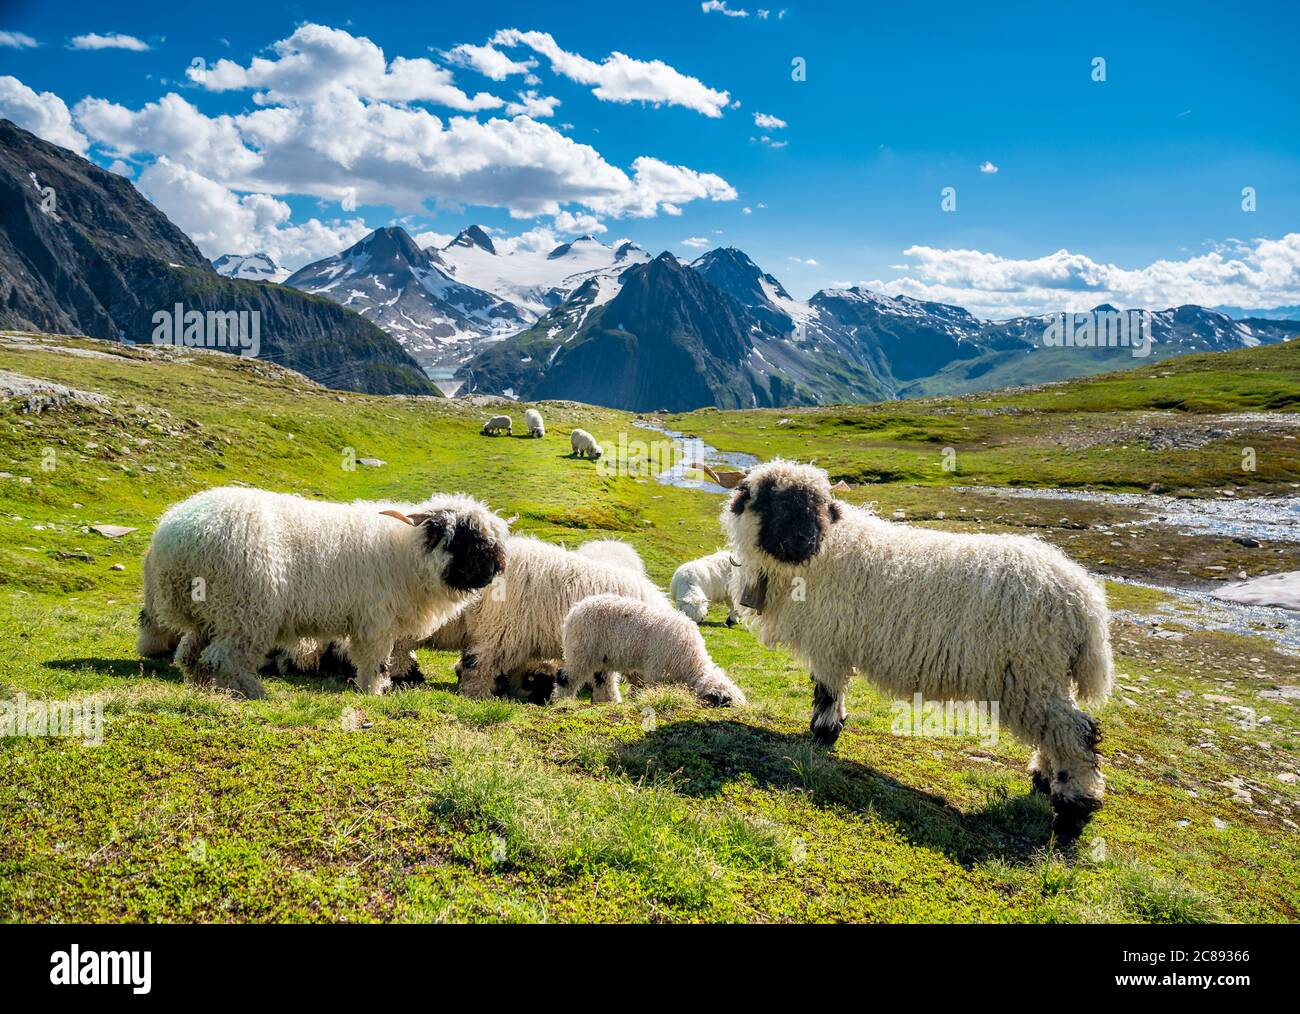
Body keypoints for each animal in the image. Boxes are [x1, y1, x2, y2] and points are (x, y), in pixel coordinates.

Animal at [140, 487, 508, 699]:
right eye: (467, 538)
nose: (496, 569)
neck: (408, 555)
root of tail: (174, 536)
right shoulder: (375, 622)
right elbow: (375, 661)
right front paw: (373, 692)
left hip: (209, 613)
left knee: (191, 653)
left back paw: (202, 686)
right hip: (244, 610)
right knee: (225, 657)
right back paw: (253, 692)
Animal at [456, 535, 668, 700]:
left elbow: (602, 676)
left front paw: (605, 700)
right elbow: (604, 676)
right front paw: (611, 700)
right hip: (505, 627)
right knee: (479, 661)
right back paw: (478, 694)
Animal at [555, 593, 747, 707]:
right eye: (726, 705)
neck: (691, 661)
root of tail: (576, 609)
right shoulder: (657, 672)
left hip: (603, 656)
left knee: (603, 679)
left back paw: (611, 701)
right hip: (581, 650)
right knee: (566, 677)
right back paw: (562, 701)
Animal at [722, 460, 1113, 840]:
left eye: (820, 504)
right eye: (774, 501)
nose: (805, 539)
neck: (824, 553)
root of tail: (1083, 600)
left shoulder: (828, 642)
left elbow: (827, 691)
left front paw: (823, 731)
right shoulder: (835, 642)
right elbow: (834, 690)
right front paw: (834, 726)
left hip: (1030, 670)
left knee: (1075, 732)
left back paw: (1073, 809)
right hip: (1042, 676)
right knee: (1055, 731)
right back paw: (1043, 779)